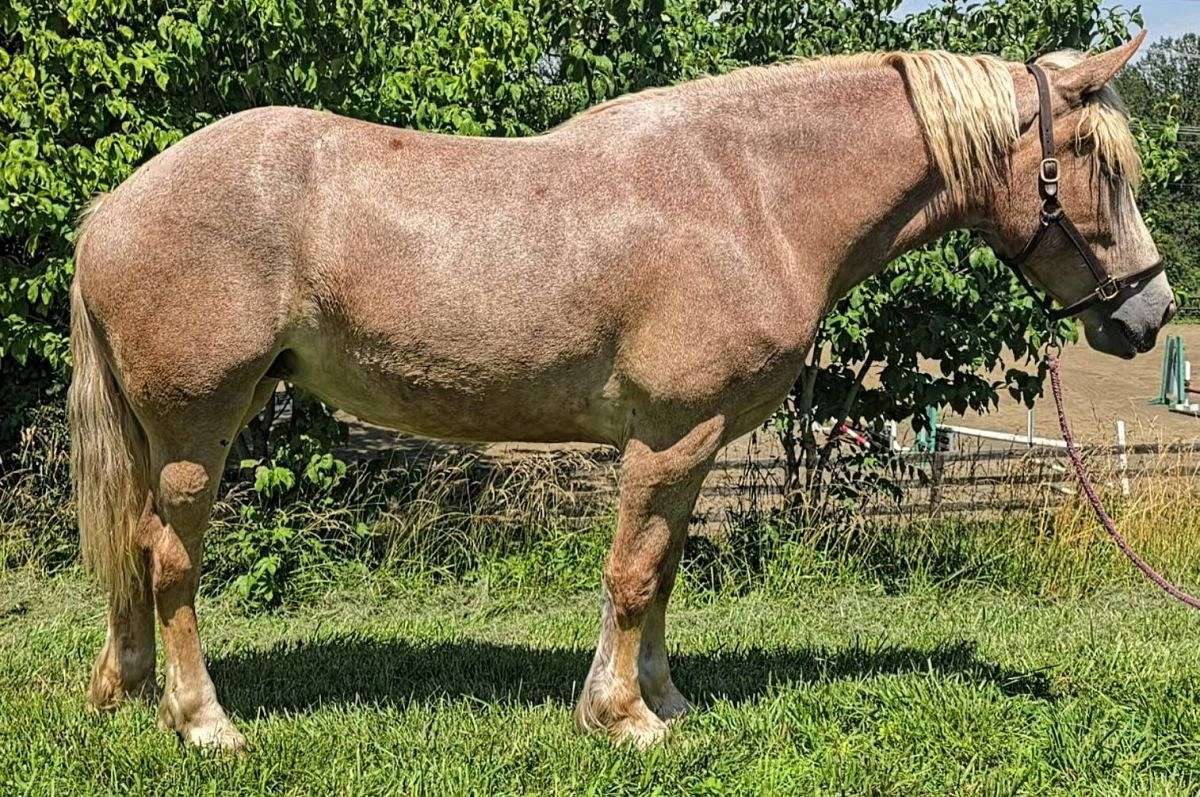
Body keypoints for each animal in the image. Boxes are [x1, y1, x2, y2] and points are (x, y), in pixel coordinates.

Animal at [68, 33, 1172, 749]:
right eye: (1097, 161)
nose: (1152, 312)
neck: (752, 197)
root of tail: (114, 205)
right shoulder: (672, 436)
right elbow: (634, 573)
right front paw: (622, 717)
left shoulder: (694, 442)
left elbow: (664, 568)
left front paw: (661, 698)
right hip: (197, 428)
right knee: (170, 559)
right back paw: (204, 722)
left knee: (134, 549)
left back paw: (123, 691)